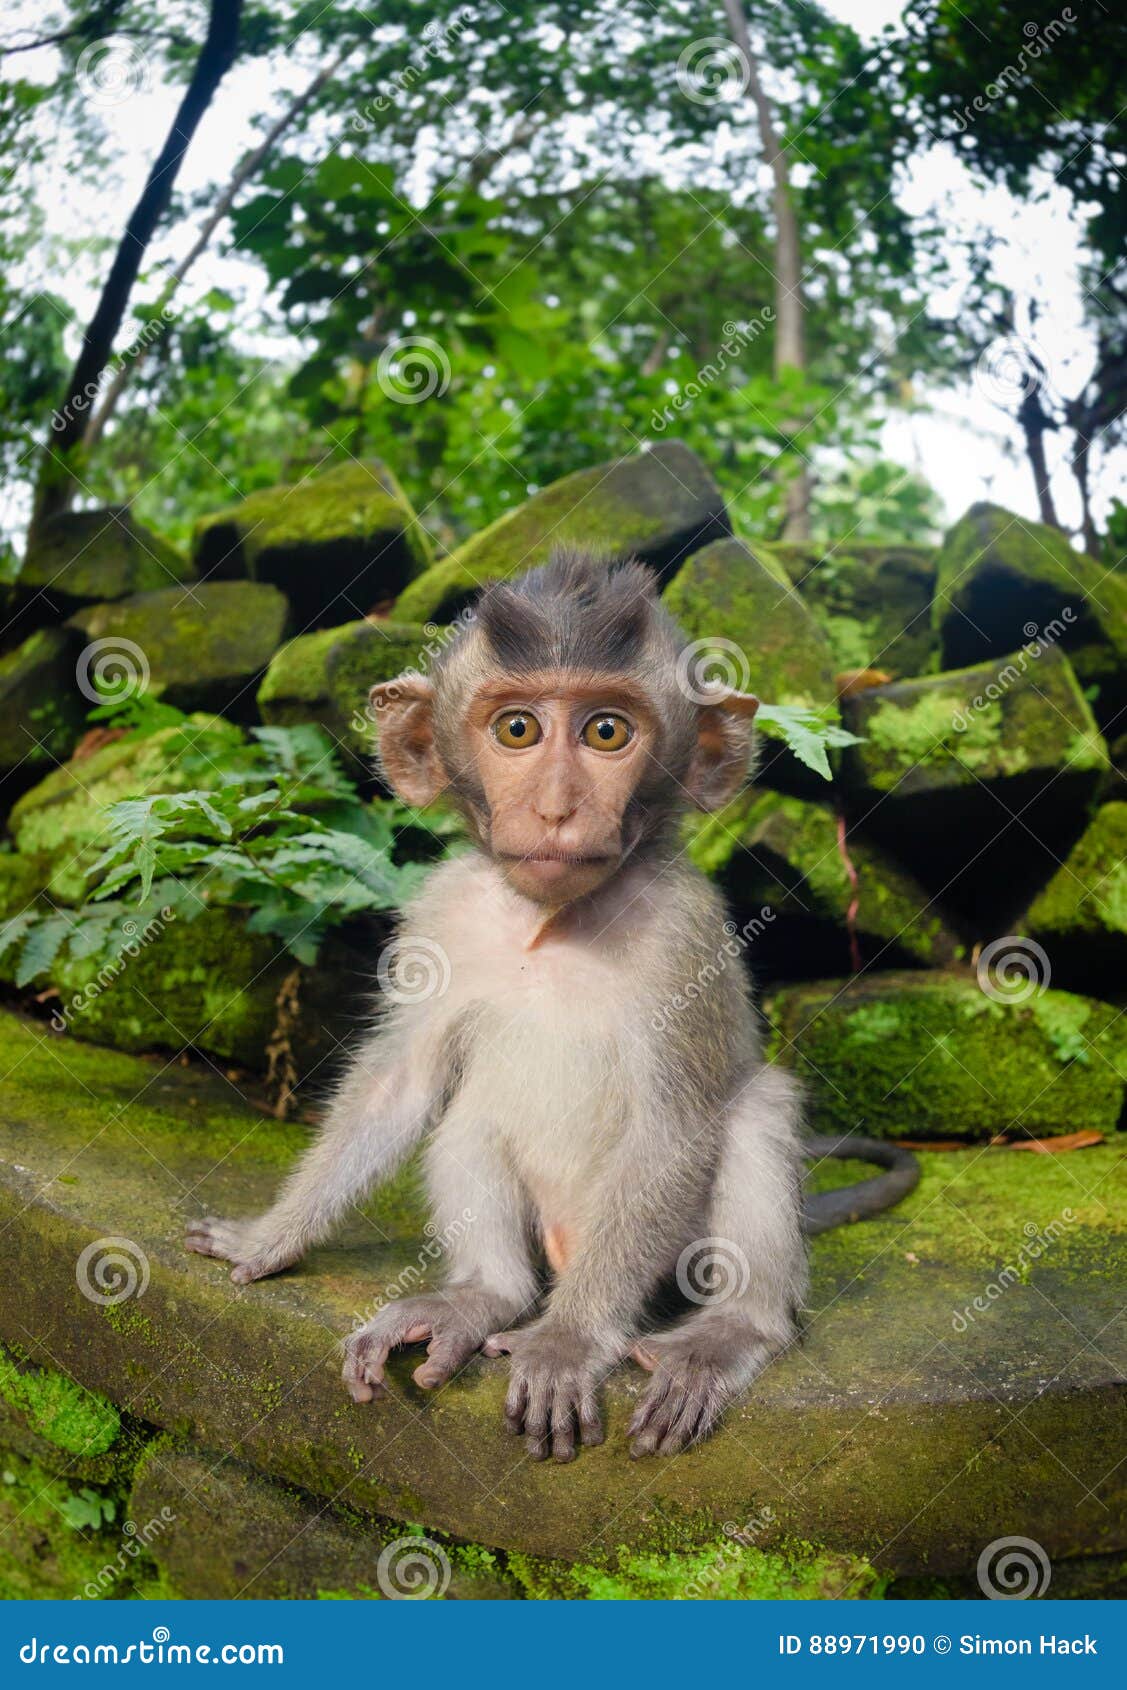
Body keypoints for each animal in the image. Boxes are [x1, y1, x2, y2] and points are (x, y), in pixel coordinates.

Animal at [186, 550, 918, 1460]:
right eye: (517, 731)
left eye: (607, 733)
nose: (557, 807)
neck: (551, 921)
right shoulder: (442, 912)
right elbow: (401, 1086)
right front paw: (270, 1235)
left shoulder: (683, 932)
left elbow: (673, 1128)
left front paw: (571, 1343)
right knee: (469, 1118)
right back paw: (477, 1298)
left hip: (670, 1257)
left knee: (755, 1108)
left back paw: (728, 1331)